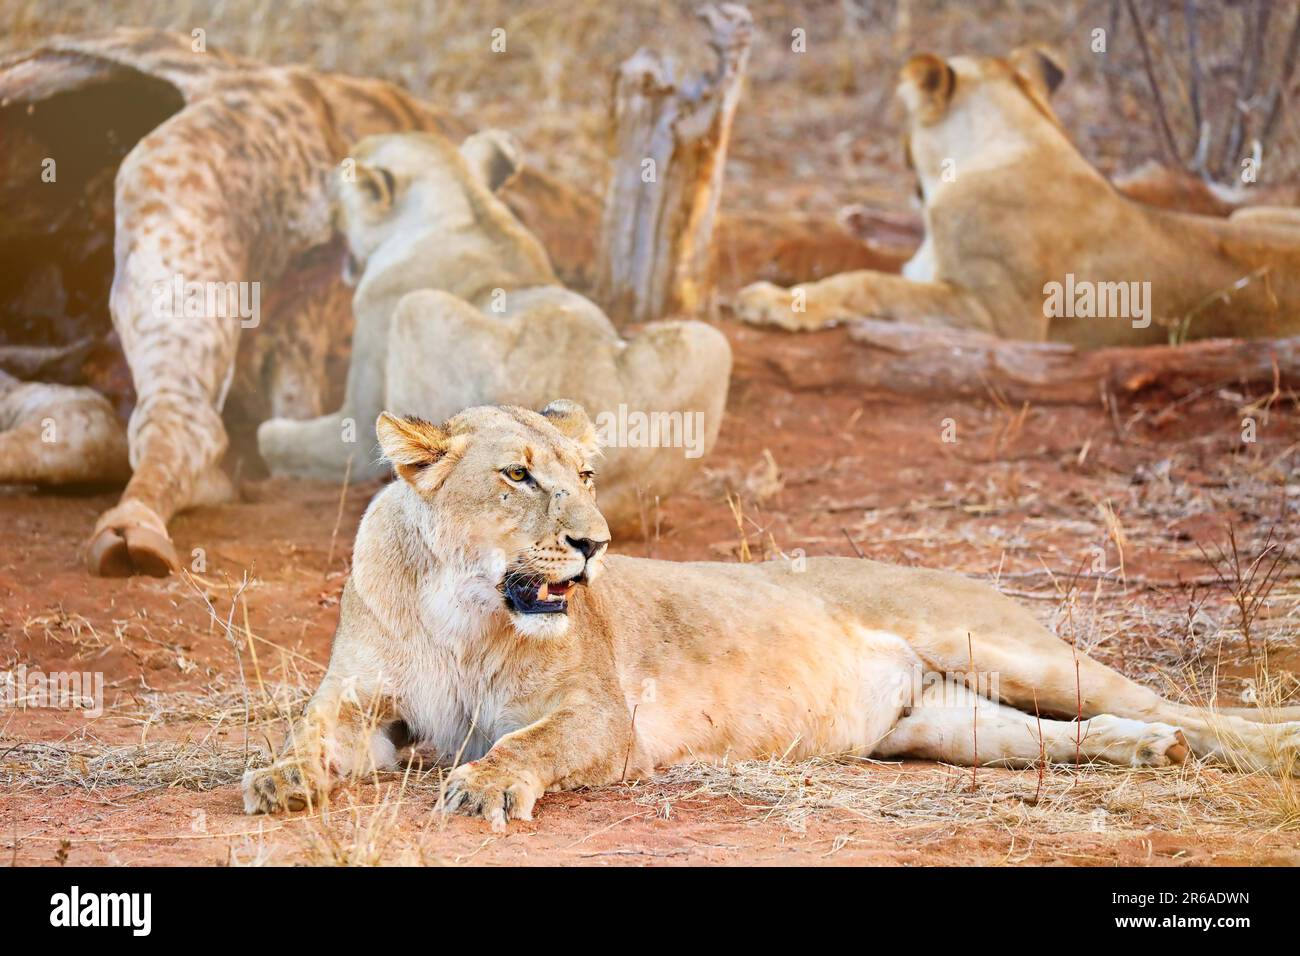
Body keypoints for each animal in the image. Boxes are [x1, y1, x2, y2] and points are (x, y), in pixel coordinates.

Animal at [243, 401, 1300, 829]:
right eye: (518, 475)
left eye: (585, 474)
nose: (594, 543)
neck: (459, 605)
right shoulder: (367, 709)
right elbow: (311, 736)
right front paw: (276, 781)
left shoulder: (603, 718)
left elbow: (524, 744)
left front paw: (491, 789)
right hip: (949, 725)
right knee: (1077, 736)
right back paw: (1142, 751)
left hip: (1004, 648)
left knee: (1177, 704)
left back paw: (1263, 745)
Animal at [257, 131, 730, 532]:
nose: (321, 191)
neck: (464, 202)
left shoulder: (374, 342)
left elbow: (296, 439)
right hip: (712, 342)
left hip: (417, 308)